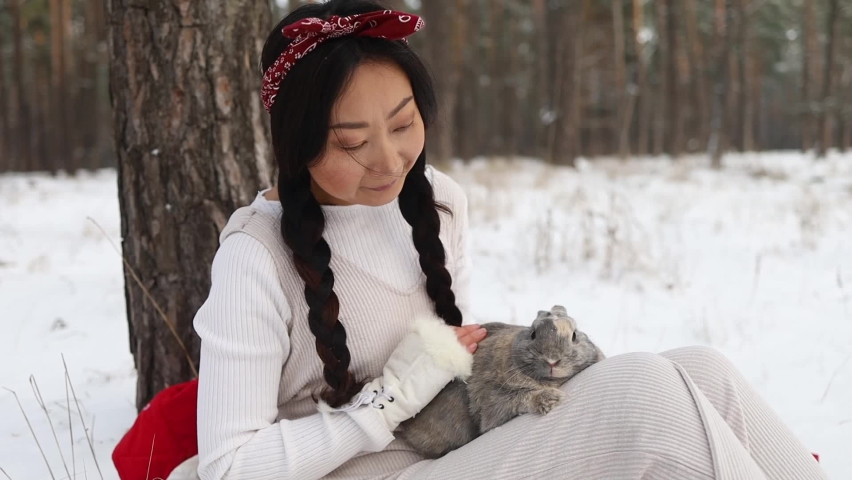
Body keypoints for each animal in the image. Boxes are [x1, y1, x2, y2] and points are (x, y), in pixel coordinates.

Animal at [398, 305, 605, 459]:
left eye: (574, 335)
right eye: (533, 334)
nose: (552, 360)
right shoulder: (494, 401)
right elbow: (519, 399)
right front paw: (551, 399)